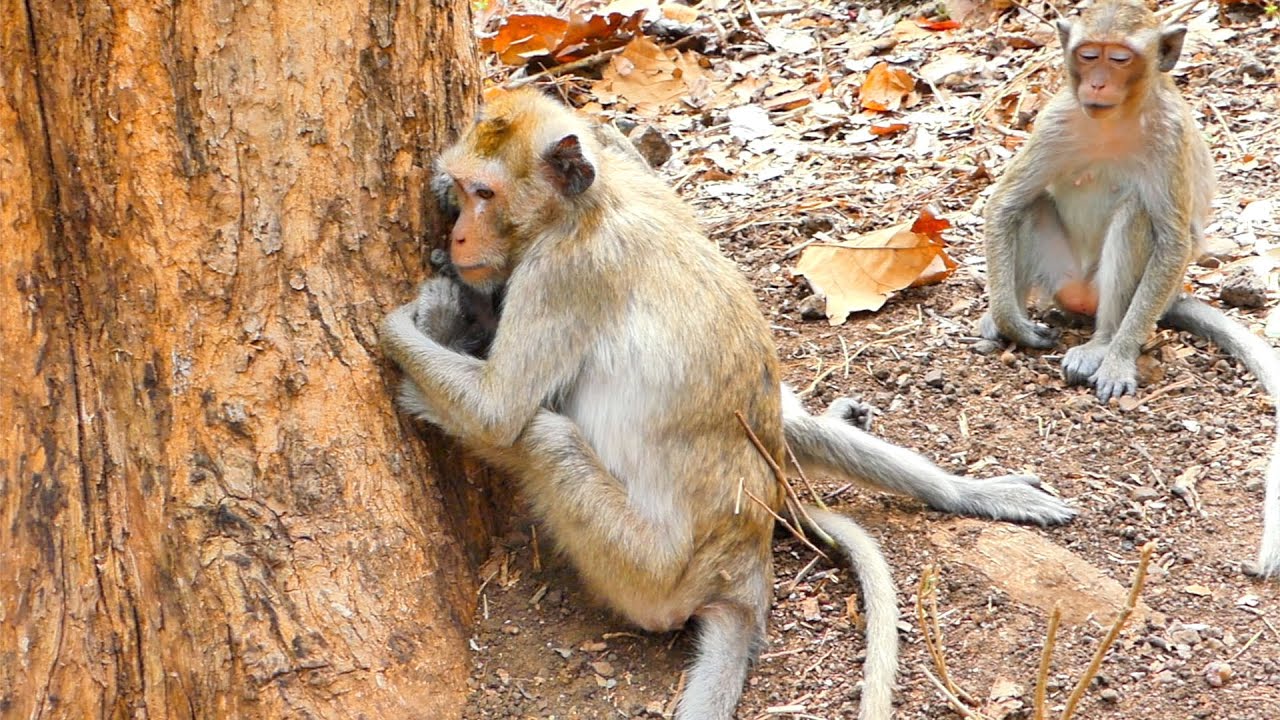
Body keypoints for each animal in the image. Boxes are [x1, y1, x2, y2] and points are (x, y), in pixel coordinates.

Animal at [380, 88, 1075, 720]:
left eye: (485, 194)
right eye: (463, 189)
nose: (459, 235)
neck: (584, 210)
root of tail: (742, 573)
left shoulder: (562, 274)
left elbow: (497, 411)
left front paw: (409, 325)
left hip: (644, 570)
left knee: (544, 438)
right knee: (784, 422)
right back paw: (955, 489)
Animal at [978, 0, 1280, 578]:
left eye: (1119, 59)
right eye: (1087, 55)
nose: (1097, 82)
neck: (1114, 120)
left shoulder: (1169, 137)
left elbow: (1172, 240)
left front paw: (1117, 360)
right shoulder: (1055, 118)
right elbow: (1004, 203)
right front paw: (1010, 321)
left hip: (1121, 293)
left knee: (1137, 217)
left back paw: (1101, 344)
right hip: (1059, 273)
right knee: (1032, 205)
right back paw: (1004, 318)